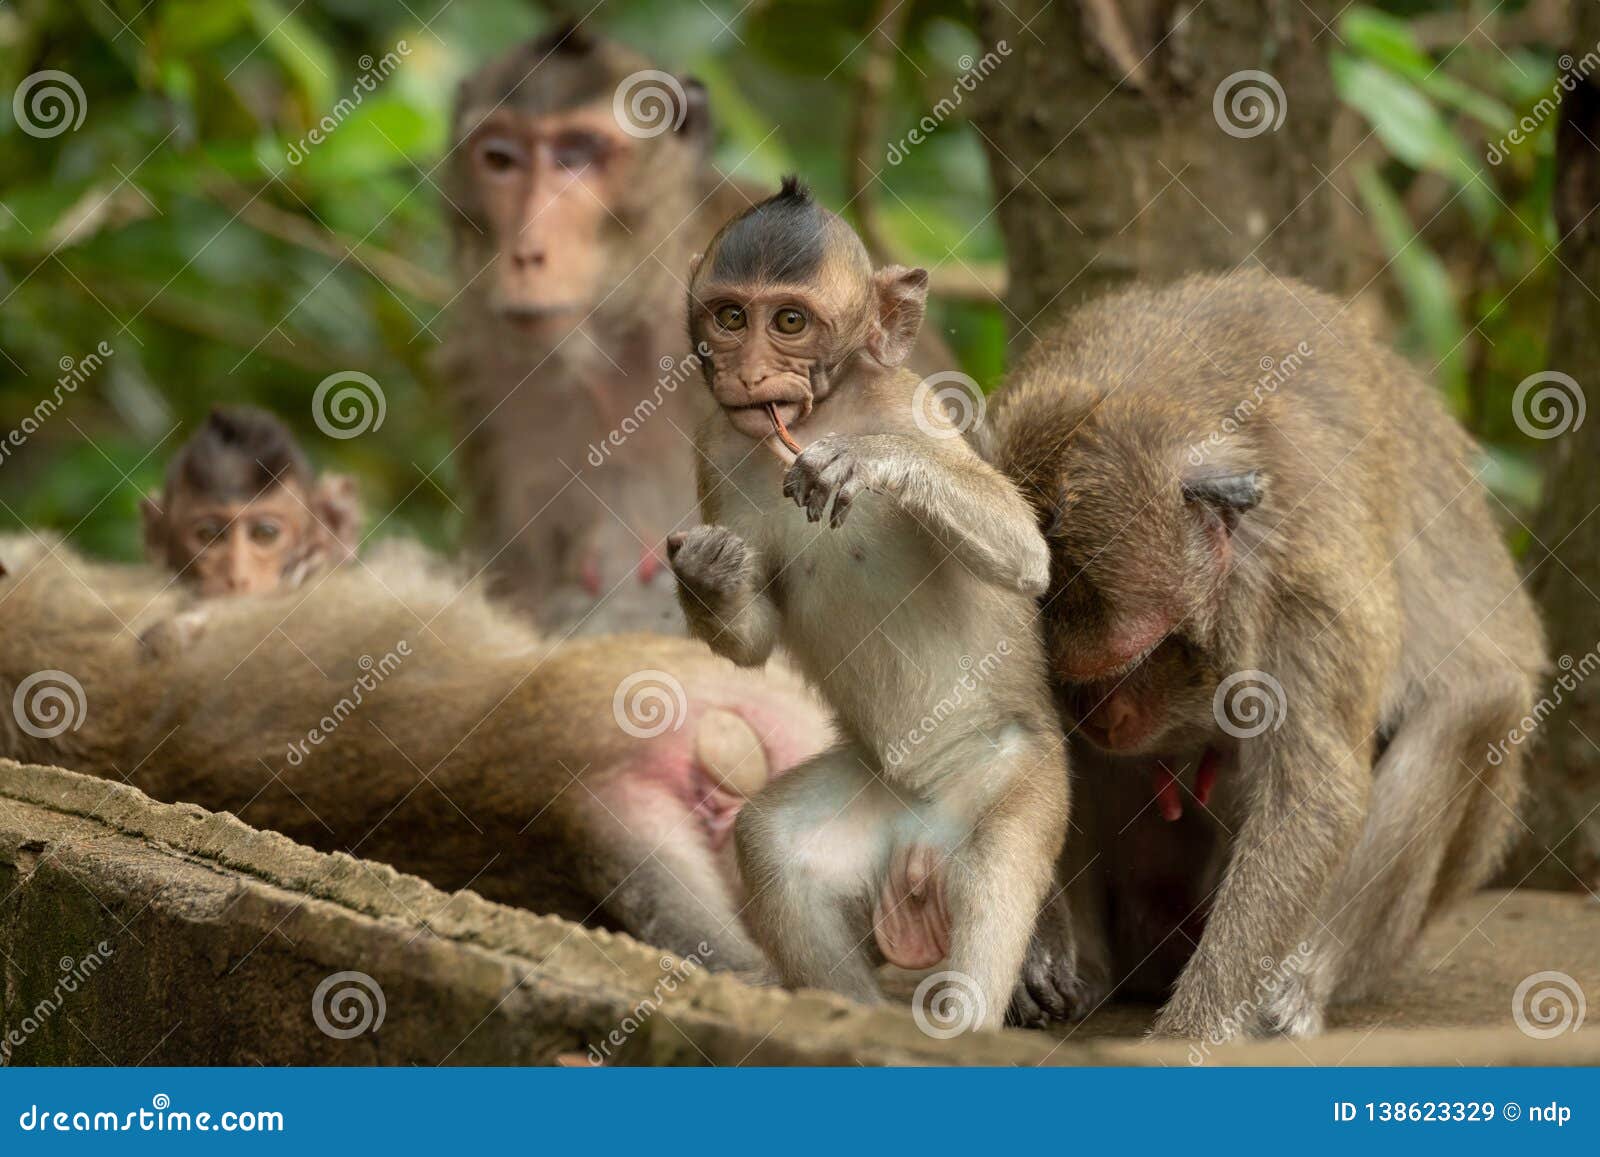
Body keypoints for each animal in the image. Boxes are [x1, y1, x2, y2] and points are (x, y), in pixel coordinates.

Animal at [668, 179, 1067, 1027]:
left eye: (789, 322)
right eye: (730, 316)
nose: (750, 372)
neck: (823, 412)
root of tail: (922, 841)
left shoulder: (914, 402)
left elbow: (1023, 553)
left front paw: (871, 461)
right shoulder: (712, 442)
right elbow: (754, 638)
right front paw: (711, 571)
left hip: (1018, 777)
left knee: (991, 875)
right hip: (869, 800)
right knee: (772, 845)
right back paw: (839, 1007)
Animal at [984, 269, 1545, 1038]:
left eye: (1141, 658)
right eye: (1066, 676)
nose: (1104, 715)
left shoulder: (1305, 590)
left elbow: (1313, 790)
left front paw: (1189, 1034)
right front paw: (1038, 953)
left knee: (1472, 706)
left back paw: (1299, 987)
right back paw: (1087, 968)